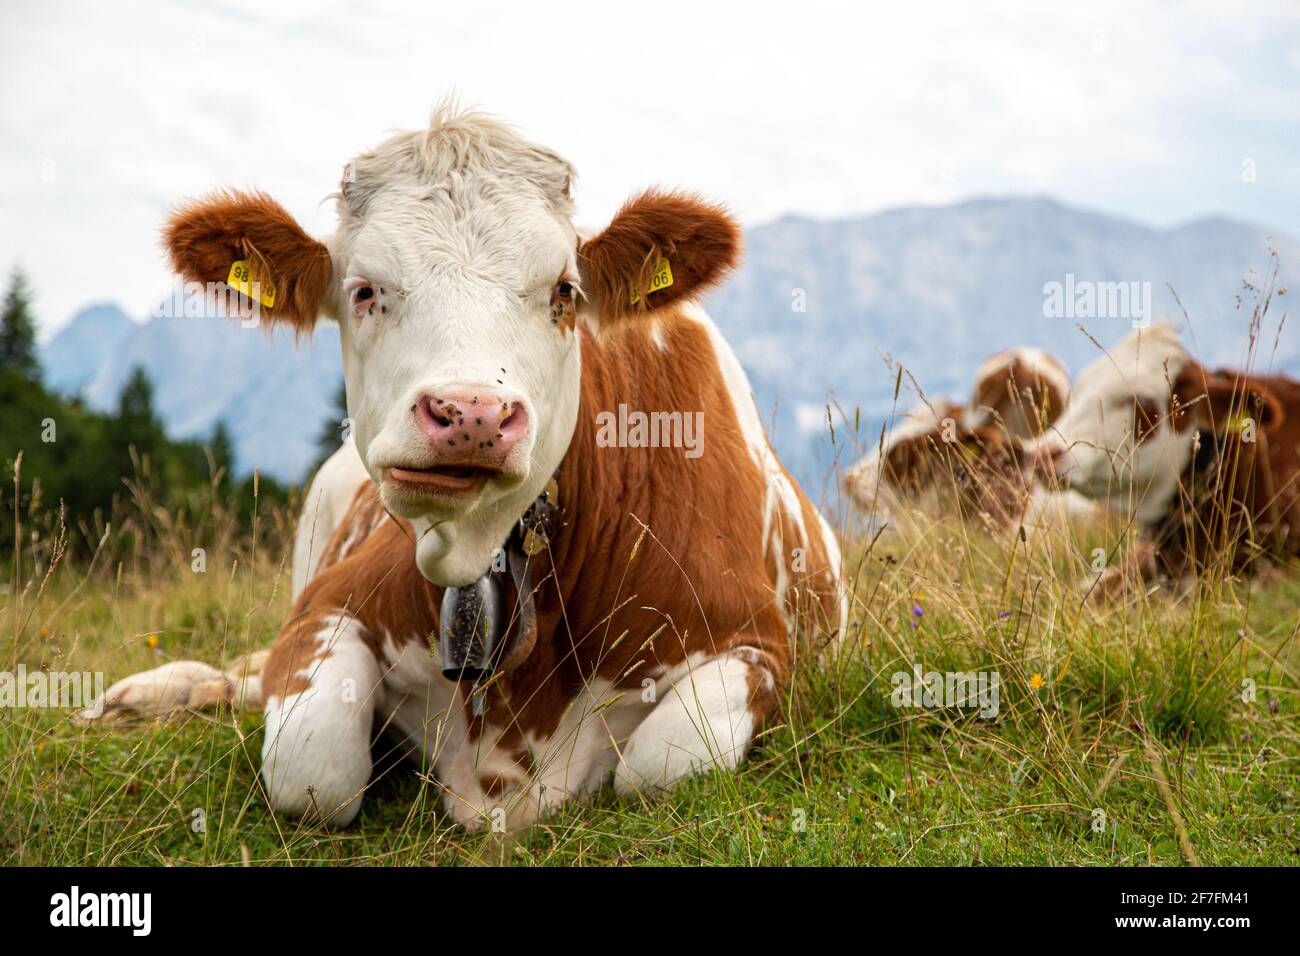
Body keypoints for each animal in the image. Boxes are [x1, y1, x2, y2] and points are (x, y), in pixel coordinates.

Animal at [79, 108, 845, 829]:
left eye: (564, 291)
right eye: (364, 291)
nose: (471, 413)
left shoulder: (755, 646)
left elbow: (659, 765)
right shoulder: (325, 605)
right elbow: (314, 768)